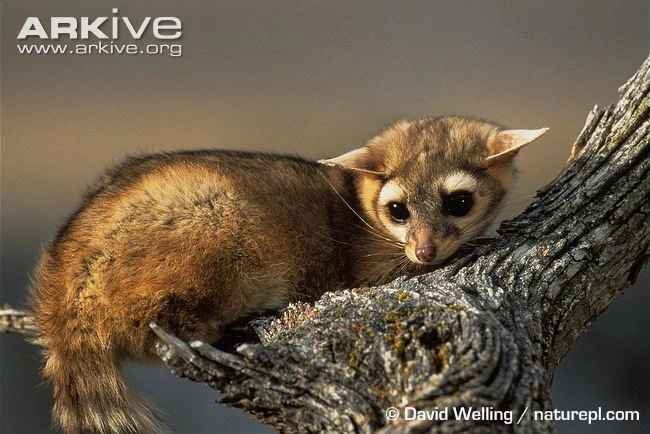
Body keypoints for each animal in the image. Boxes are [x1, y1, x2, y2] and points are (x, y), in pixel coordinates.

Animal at [31, 115, 547, 433]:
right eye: (398, 210)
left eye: (458, 201)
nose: (425, 249)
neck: (362, 203)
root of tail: (65, 284)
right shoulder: (367, 259)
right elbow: (383, 274)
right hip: (194, 229)